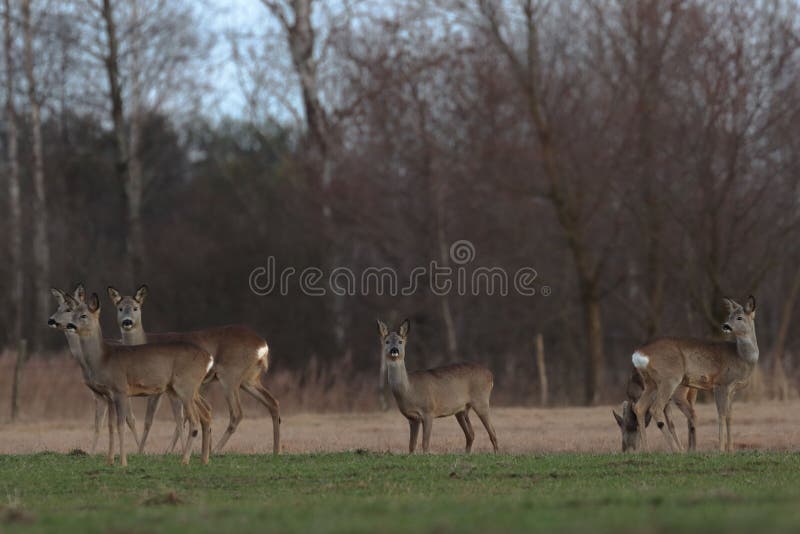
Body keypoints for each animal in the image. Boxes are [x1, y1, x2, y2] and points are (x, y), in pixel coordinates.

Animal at [48, 285, 140, 453]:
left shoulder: (122, 389)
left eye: (68, 309)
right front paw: (91, 453)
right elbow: (98, 424)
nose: (51, 320)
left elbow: (130, 419)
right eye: (58, 307)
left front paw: (141, 450)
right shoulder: (97, 394)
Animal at [65, 292, 213, 466]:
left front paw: (123, 462)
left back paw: (184, 460)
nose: (70, 325)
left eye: (84, 315)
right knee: (205, 415)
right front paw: (110, 461)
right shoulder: (108, 396)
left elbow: (120, 425)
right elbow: (110, 426)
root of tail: (208, 357)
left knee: (194, 420)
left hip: (185, 386)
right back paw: (204, 459)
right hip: (187, 389)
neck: (103, 358)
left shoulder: (120, 390)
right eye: (71, 313)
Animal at [107, 285, 281, 455]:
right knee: (272, 402)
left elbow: (154, 419)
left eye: (135, 308)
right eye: (120, 308)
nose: (127, 322)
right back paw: (276, 450)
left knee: (237, 413)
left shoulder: (161, 386)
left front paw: (144, 451)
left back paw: (215, 450)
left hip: (230, 375)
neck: (143, 342)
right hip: (249, 379)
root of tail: (263, 345)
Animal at [377, 319, 498, 454]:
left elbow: (425, 443)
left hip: (481, 400)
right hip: (462, 410)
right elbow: (411, 445)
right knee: (471, 434)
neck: (409, 390)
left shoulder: (428, 411)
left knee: (492, 432)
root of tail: (490, 375)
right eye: (387, 341)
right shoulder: (412, 418)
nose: (394, 350)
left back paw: (496, 453)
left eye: (400, 341)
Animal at [631, 296, 758, 452]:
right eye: (729, 316)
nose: (726, 326)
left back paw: (647, 450)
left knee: (639, 407)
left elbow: (730, 416)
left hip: (651, 382)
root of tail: (639, 353)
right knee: (655, 409)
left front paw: (731, 450)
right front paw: (721, 449)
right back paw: (677, 450)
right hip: (669, 378)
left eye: (739, 317)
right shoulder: (721, 383)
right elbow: (721, 414)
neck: (740, 357)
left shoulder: (732, 389)